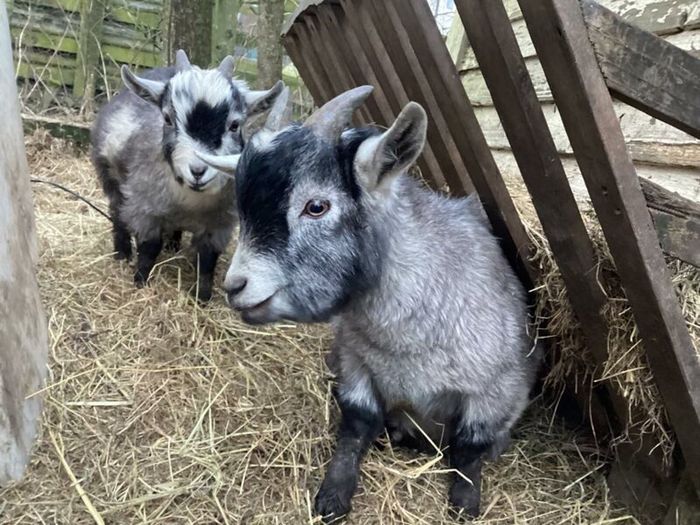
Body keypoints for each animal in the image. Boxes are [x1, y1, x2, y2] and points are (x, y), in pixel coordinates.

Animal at [90, 49, 283, 301]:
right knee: (117, 212)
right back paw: (122, 253)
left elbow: (207, 261)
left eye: (234, 125)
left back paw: (172, 244)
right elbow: (148, 249)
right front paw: (140, 282)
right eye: (167, 118)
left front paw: (202, 297)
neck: (190, 203)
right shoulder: (145, 209)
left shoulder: (219, 225)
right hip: (111, 177)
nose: (198, 171)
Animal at [198, 86, 541, 520]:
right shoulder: (355, 365)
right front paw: (333, 495)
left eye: (316, 206)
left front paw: (465, 501)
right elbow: (358, 423)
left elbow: (469, 447)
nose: (235, 285)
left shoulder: (497, 392)